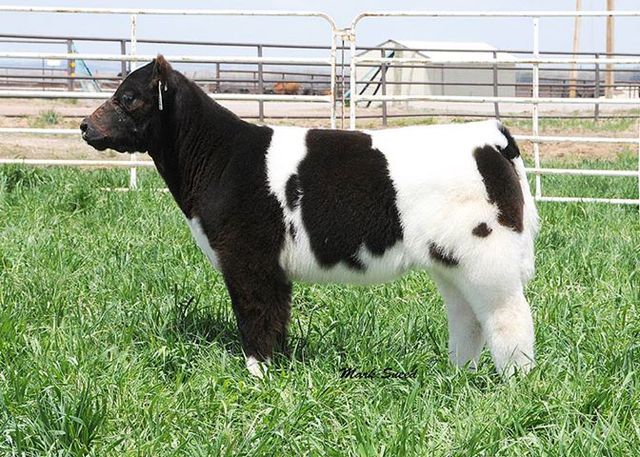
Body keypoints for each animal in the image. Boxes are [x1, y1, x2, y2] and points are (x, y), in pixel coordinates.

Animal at [81, 56, 539, 379]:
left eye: (128, 97)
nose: (85, 125)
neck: (222, 158)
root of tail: (490, 136)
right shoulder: (271, 267)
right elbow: (277, 316)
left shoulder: (248, 259)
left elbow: (255, 315)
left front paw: (257, 374)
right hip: (451, 262)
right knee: (468, 318)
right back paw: (457, 374)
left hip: (488, 256)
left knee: (509, 317)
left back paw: (516, 381)